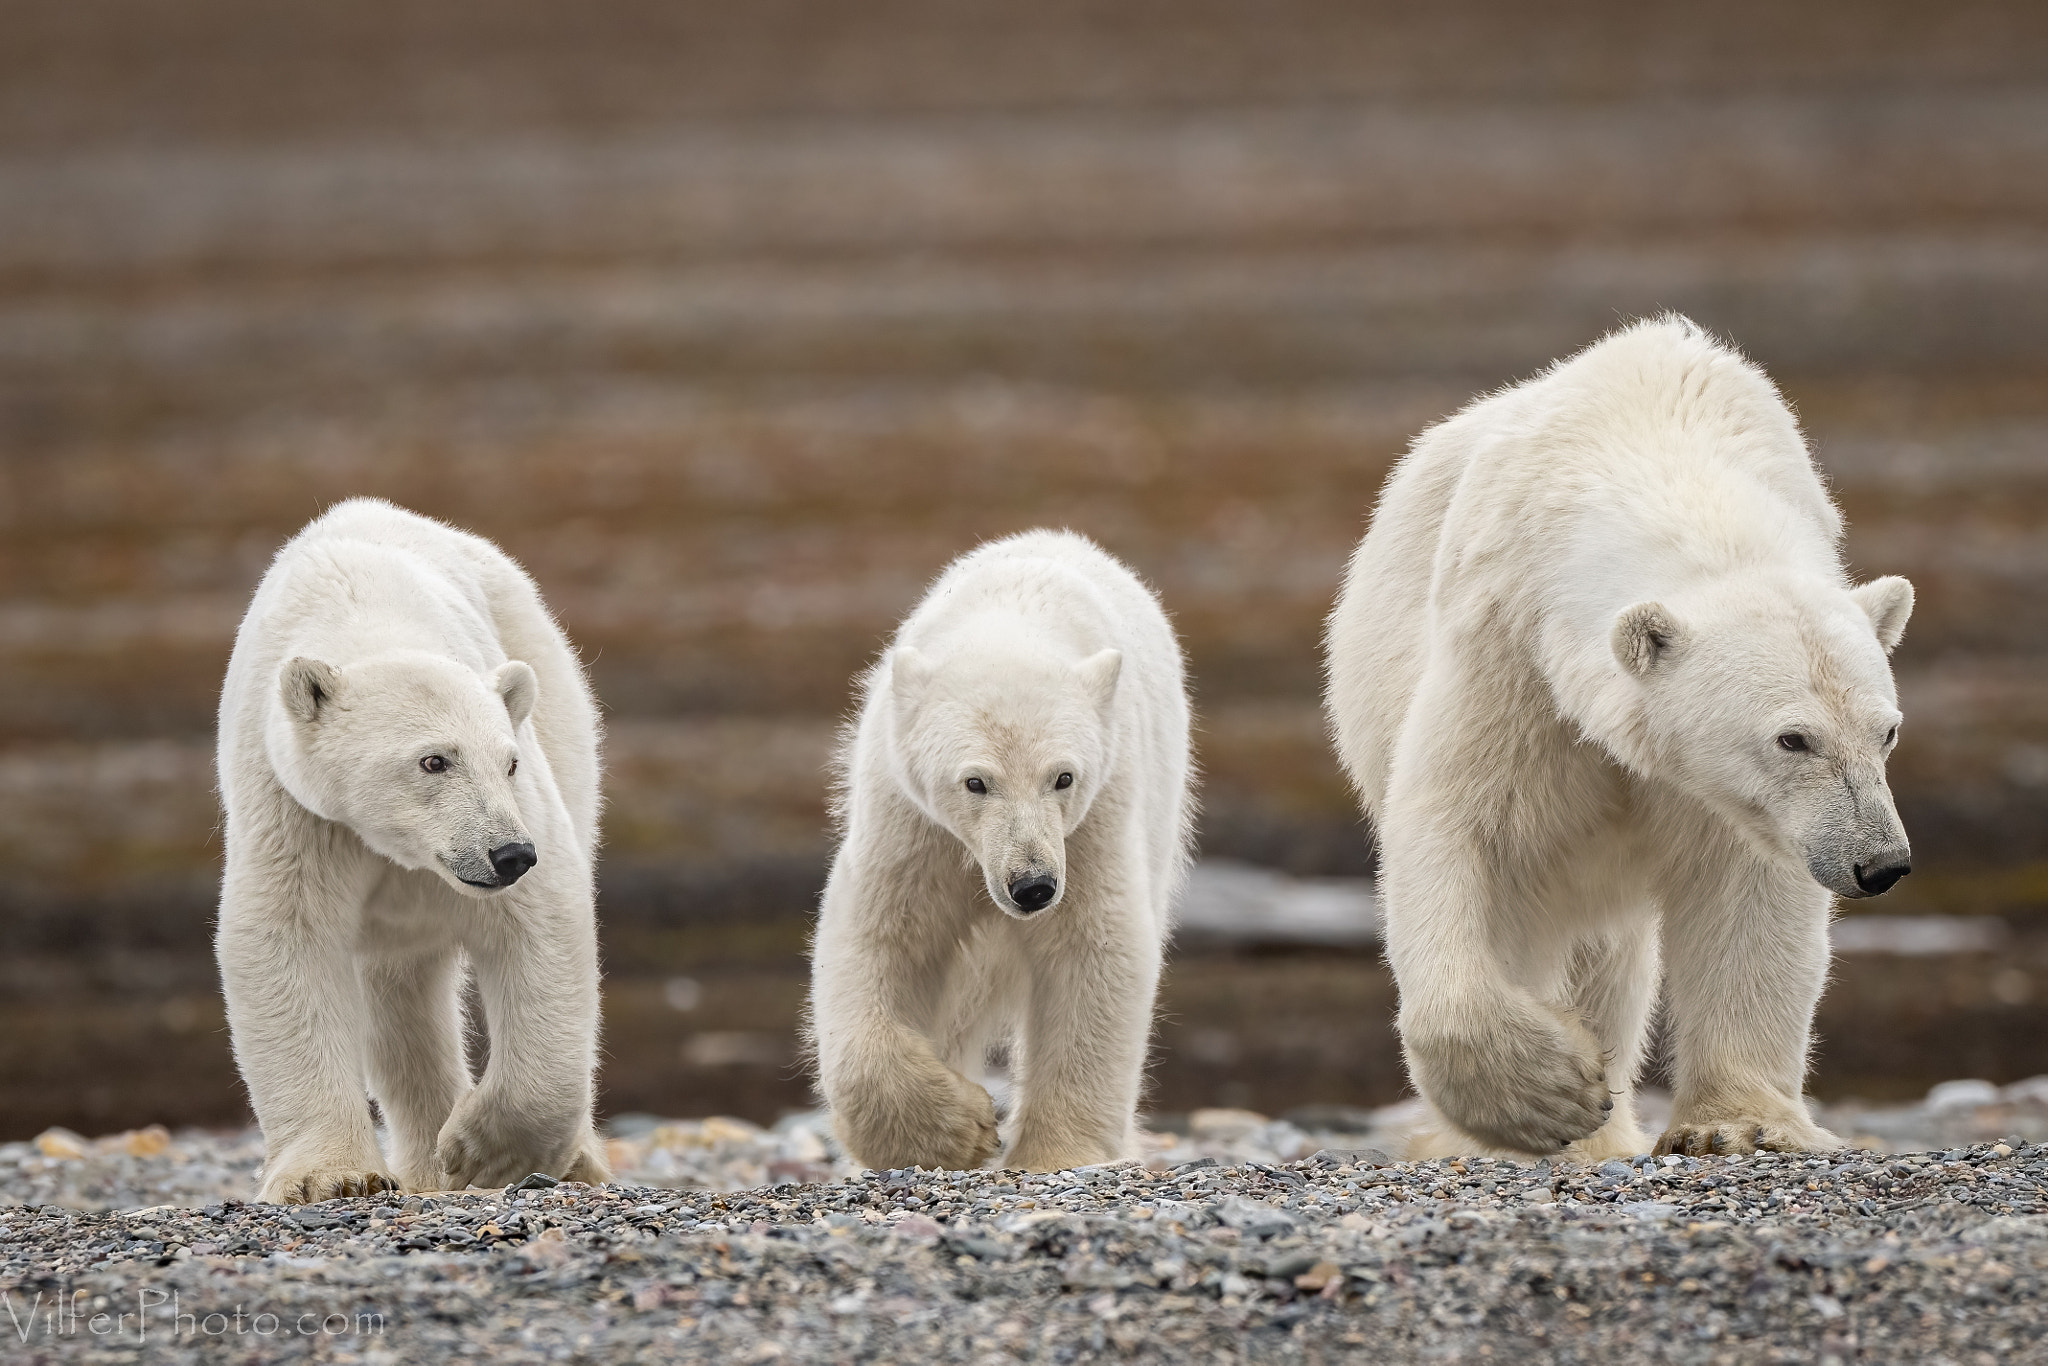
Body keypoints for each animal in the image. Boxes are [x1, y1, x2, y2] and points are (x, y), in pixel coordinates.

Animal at [215, 498, 610, 1203]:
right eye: (434, 760)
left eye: (508, 761)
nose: (509, 854)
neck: (364, 610)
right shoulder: (293, 805)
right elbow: (284, 934)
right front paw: (331, 1179)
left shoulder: (523, 797)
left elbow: (542, 923)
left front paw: (482, 1154)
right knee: (401, 999)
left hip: (558, 705)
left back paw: (563, 1161)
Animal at [809, 529, 1195, 1173]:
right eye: (975, 782)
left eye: (1063, 777)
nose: (1032, 885)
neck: (1012, 615)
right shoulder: (911, 820)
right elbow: (882, 934)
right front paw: (962, 1128)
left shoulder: (1099, 813)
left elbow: (1094, 944)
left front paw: (1054, 1152)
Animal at [1323, 317, 1915, 1162]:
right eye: (1793, 739)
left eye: (1887, 730)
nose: (1880, 863)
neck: (1650, 433)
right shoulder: (1511, 656)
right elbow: (1463, 828)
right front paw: (1551, 1094)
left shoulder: (1732, 800)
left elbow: (1749, 894)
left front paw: (1737, 1126)